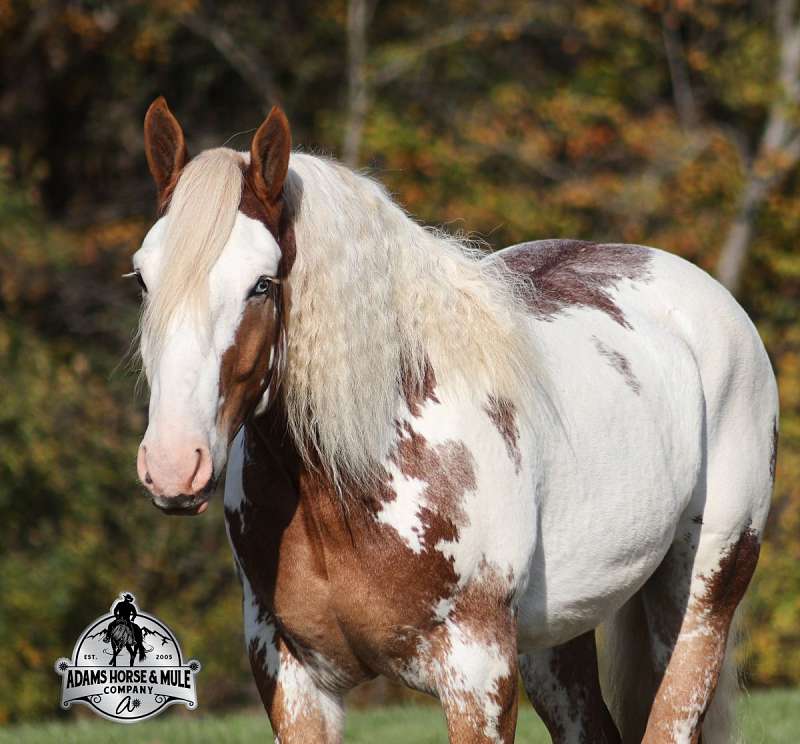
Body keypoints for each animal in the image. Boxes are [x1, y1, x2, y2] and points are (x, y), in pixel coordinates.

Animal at [131, 96, 778, 744]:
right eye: (143, 279)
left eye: (262, 284)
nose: (172, 465)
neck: (352, 486)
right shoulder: (289, 675)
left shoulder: (478, 673)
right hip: (553, 638)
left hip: (700, 600)